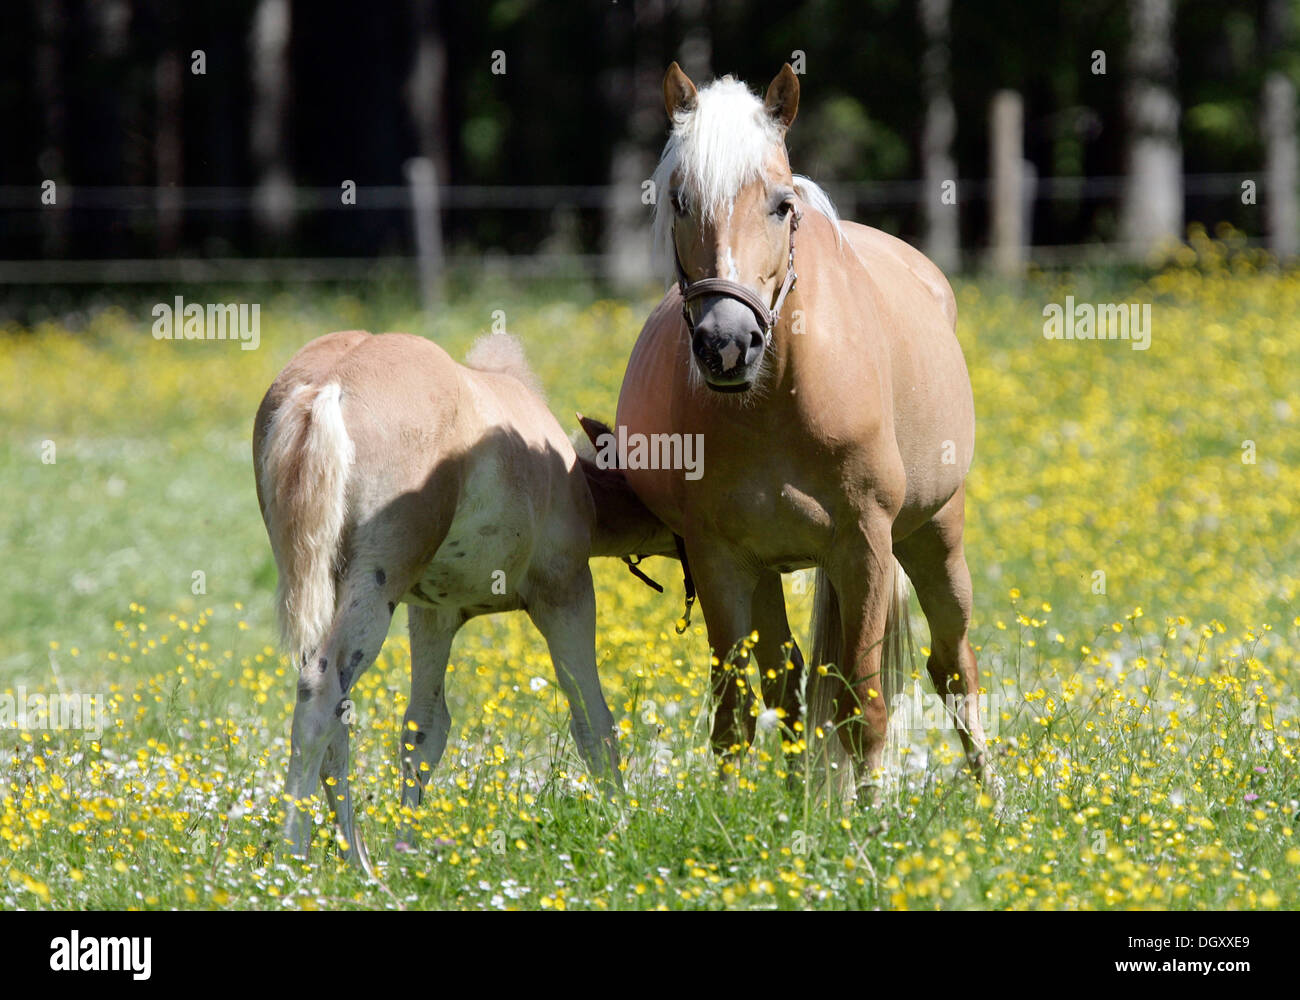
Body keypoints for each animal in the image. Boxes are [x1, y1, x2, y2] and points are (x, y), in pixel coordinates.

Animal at [253, 330, 673, 870]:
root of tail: (324, 386)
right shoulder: (566, 593)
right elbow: (593, 721)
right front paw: (623, 827)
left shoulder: (433, 614)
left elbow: (423, 731)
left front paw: (406, 850)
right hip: (374, 586)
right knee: (321, 696)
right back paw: (294, 861)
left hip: (325, 589)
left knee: (337, 717)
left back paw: (361, 864)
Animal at [614, 63, 991, 800]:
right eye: (678, 200)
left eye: (781, 205)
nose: (726, 344)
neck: (776, 402)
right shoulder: (722, 560)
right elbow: (736, 712)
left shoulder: (865, 545)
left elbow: (864, 705)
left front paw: (868, 816)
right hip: (770, 571)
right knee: (785, 684)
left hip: (935, 534)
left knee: (953, 666)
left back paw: (995, 799)